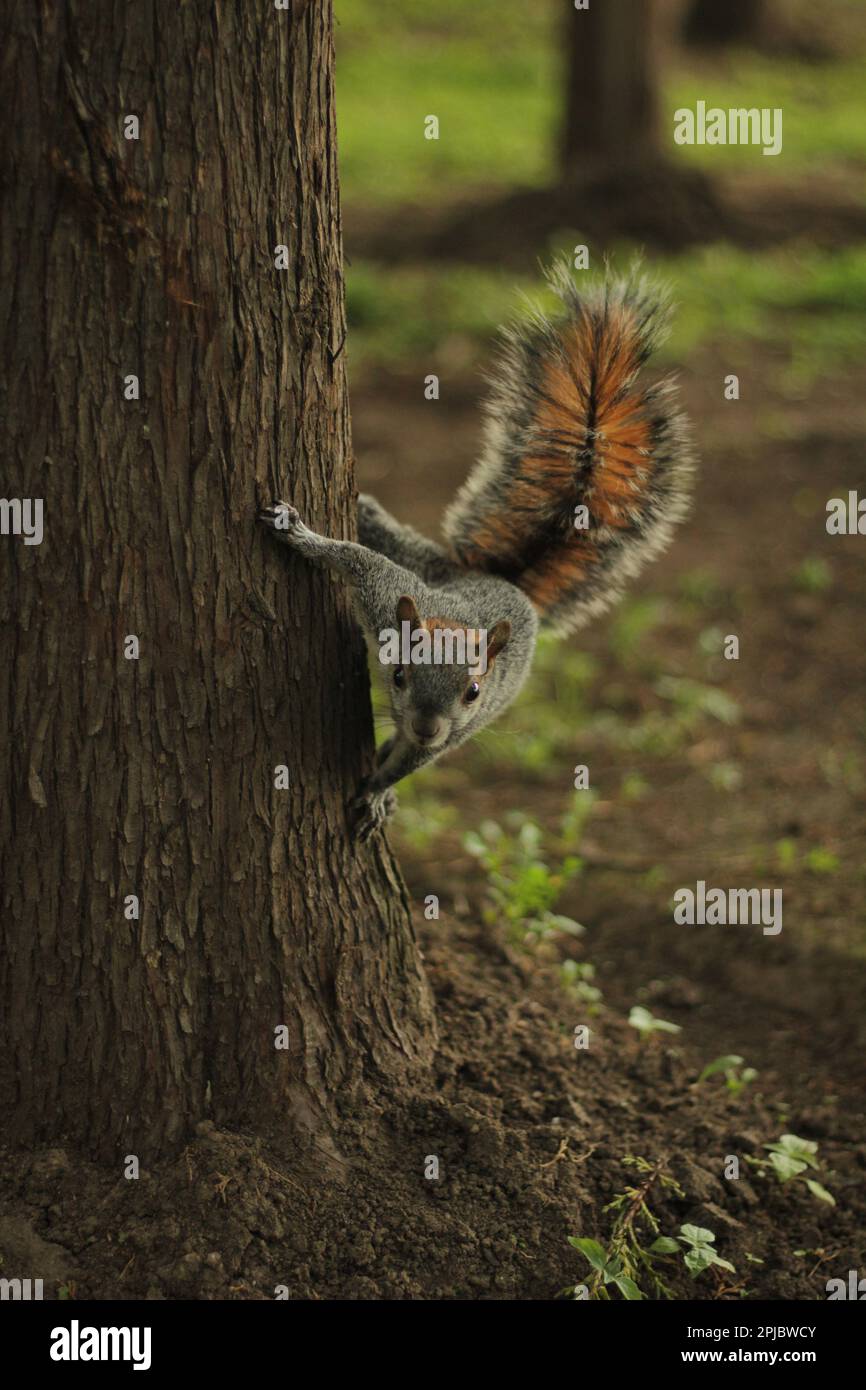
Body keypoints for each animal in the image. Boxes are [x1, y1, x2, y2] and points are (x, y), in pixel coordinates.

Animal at [260, 264, 694, 839]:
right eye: (398, 673)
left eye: (473, 692)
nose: (426, 725)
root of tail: (504, 581)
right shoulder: (387, 594)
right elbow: (358, 559)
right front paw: (302, 534)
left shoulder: (462, 726)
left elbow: (413, 760)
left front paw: (379, 790)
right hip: (422, 563)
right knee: (384, 534)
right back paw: (366, 505)